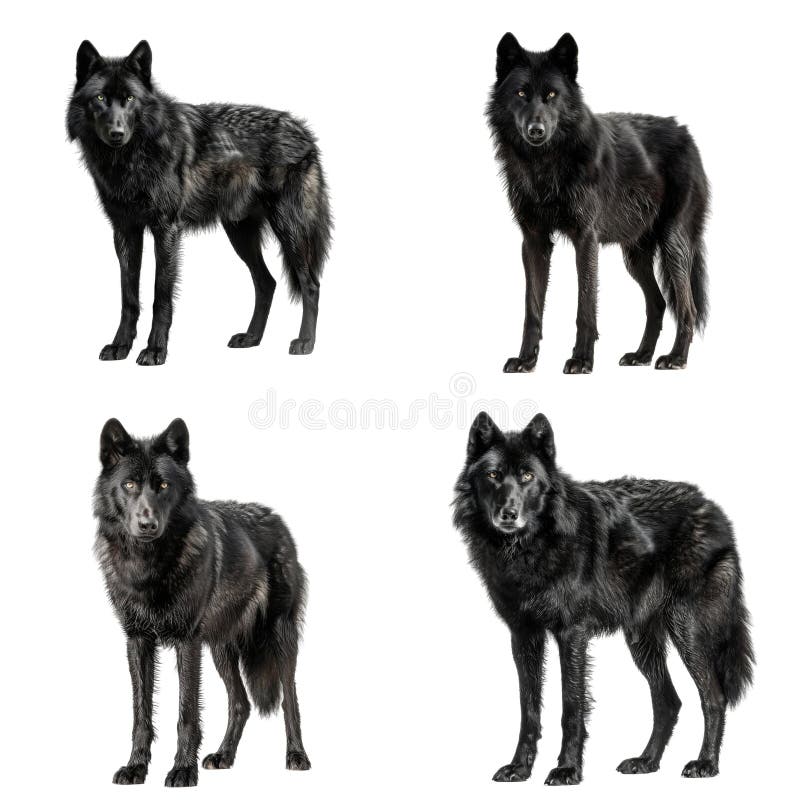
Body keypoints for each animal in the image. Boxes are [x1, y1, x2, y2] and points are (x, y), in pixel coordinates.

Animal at [68, 41, 332, 366]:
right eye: (101, 98)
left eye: (129, 98)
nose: (117, 134)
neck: (131, 159)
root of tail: (304, 131)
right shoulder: (125, 231)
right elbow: (128, 297)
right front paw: (120, 346)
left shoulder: (166, 230)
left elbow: (160, 296)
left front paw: (155, 350)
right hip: (240, 234)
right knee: (266, 283)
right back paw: (251, 339)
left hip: (289, 229)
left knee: (310, 284)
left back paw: (305, 342)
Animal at [94, 418, 311, 786]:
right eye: (129, 484)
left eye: (163, 484)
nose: (147, 524)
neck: (149, 566)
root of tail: (277, 518)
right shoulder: (137, 640)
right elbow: (141, 715)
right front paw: (136, 767)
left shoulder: (186, 641)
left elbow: (186, 714)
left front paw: (182, 770)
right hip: (221, 648)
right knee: (241, 704)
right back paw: (223, 756)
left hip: (280, 637)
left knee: (289, 700)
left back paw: (297, 756)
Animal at [453, 412, 753, 784]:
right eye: (493, 475)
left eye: (527, 476)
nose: (508, 514)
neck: (529, 548)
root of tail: (712, 507)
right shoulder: (524, 635)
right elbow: (528, 708)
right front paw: (520, 768)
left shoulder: (571, 633)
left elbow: (571, 706)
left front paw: (567, 769)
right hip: (641, 642)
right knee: (668, 702)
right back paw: (645, 762)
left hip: (687, 631)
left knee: (714, 696)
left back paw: (706, 764)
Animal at [487, 33, 709, 373]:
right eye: (521, 93)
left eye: (552, 94)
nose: (536, 131)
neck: (546, 165)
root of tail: (686, 135)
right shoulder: (534, 241)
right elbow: (532, 309)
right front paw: (526, 360)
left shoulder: (586, 238)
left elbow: (585, 305)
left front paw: (582, 359)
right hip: (635, 257)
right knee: (658, 304)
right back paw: (641, 356)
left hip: (674, 244)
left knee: (687, 308)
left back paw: (675, 358)